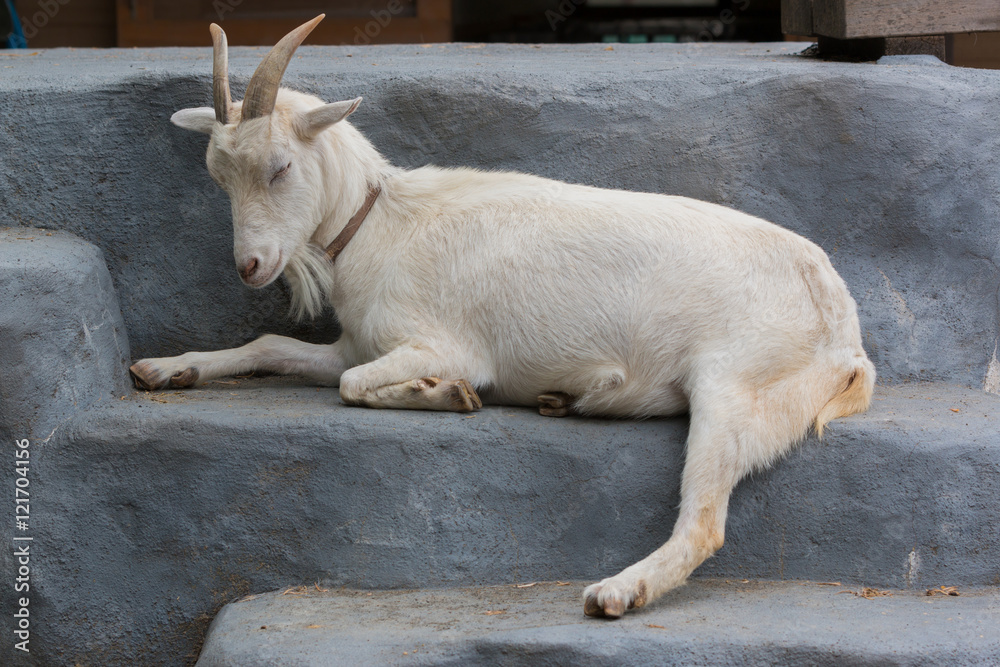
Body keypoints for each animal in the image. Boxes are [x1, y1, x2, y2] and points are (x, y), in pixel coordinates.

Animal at [130, 15, 875, 618]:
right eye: (220, 176)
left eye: (281, 167)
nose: (250, 265)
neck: (381, 226)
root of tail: (845, 330)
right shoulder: (352, 344)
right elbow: (271, 345)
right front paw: (165, 368)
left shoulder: (441, 343)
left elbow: (356, 385)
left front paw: (444, 394)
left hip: (737, 385)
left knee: (704, 521)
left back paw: (618, 589)